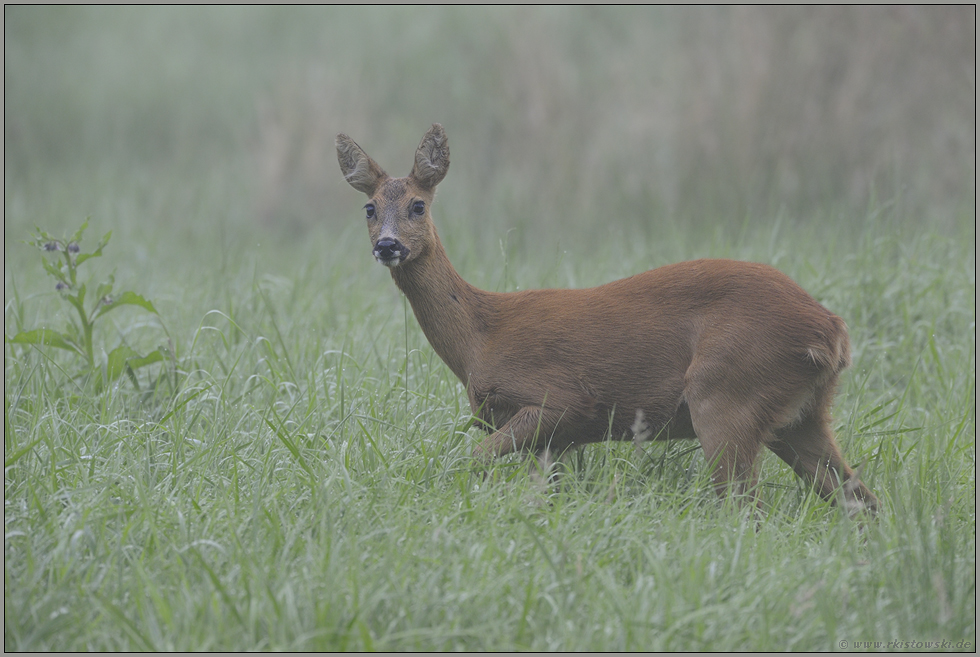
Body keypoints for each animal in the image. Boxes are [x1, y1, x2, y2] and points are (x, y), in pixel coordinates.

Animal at [336, 123, 878, 515]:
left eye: (417, 205)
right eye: (368, 208)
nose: (388, 246)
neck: (480, 336)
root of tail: (832, 332)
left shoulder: (558, 401)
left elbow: (469, 458)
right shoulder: (557, 442)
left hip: (727, 390)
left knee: (748, 508)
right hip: (801, 415)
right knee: (859, 498)